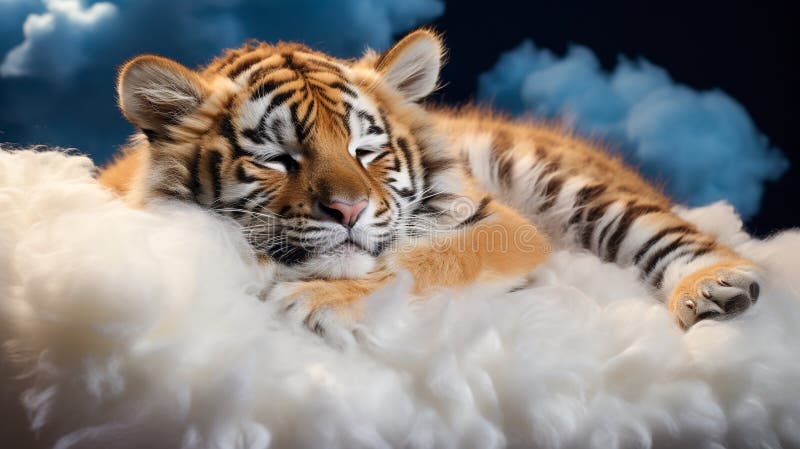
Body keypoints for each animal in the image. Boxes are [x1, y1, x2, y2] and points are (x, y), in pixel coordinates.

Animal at [98, 29, 761, 337]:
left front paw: (317, 301)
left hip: (559, 180)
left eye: (365, 152)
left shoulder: (503, 223)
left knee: (667, 232)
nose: (348, 210)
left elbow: (430, 258)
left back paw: (712, 289)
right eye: (277, 158)